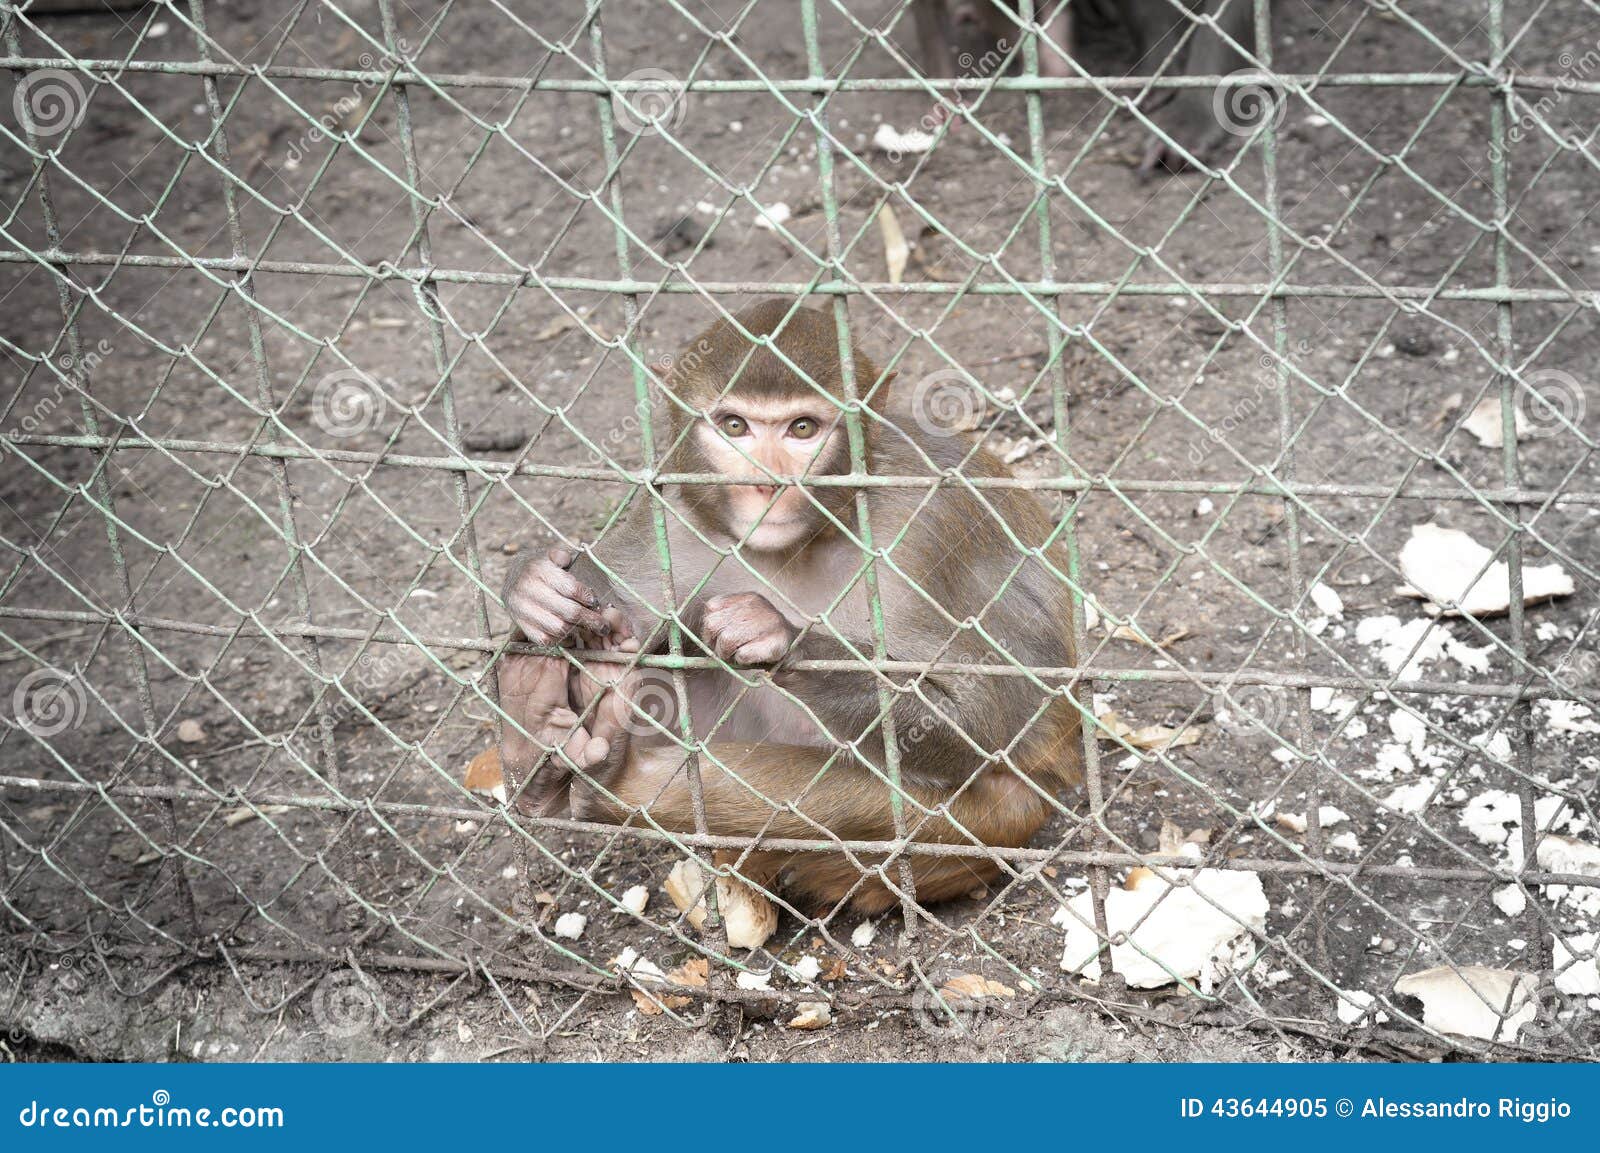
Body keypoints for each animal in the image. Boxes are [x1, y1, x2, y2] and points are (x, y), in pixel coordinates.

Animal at [499, 300, 1083, 915]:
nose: (767, 482)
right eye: (735, 426)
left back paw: (615, 779)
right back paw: (535, 733)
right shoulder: (676, 516)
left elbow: (987, 716)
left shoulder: (933, 528)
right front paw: (534, 586)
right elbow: (622, 612)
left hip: (994, 823)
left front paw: (773, 633)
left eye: (803, 428)